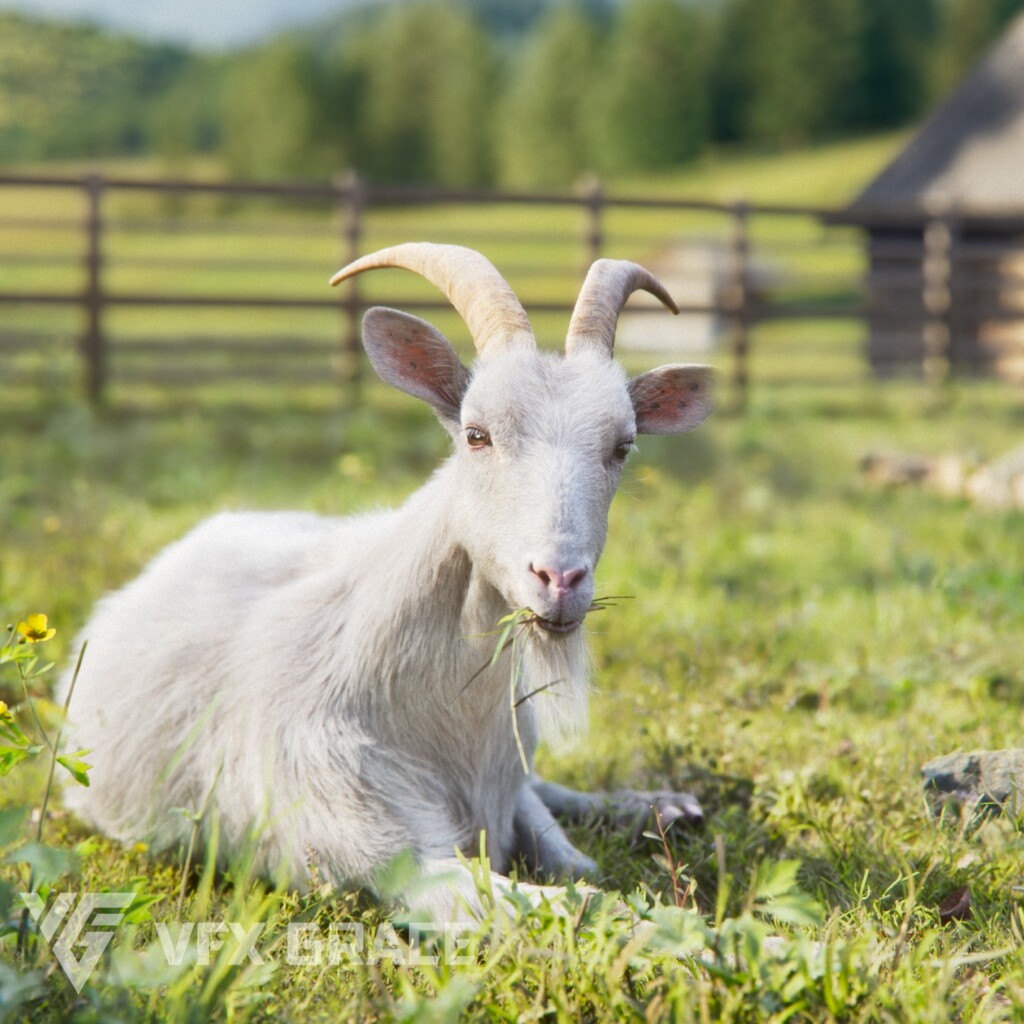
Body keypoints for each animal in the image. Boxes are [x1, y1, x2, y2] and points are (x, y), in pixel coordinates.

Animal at [59, 243, 712, 921]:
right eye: (476, 435)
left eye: (623, 446)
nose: (560, 578)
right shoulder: (392, 852)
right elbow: (578, 905)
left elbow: (568, 857)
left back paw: (664, 804)